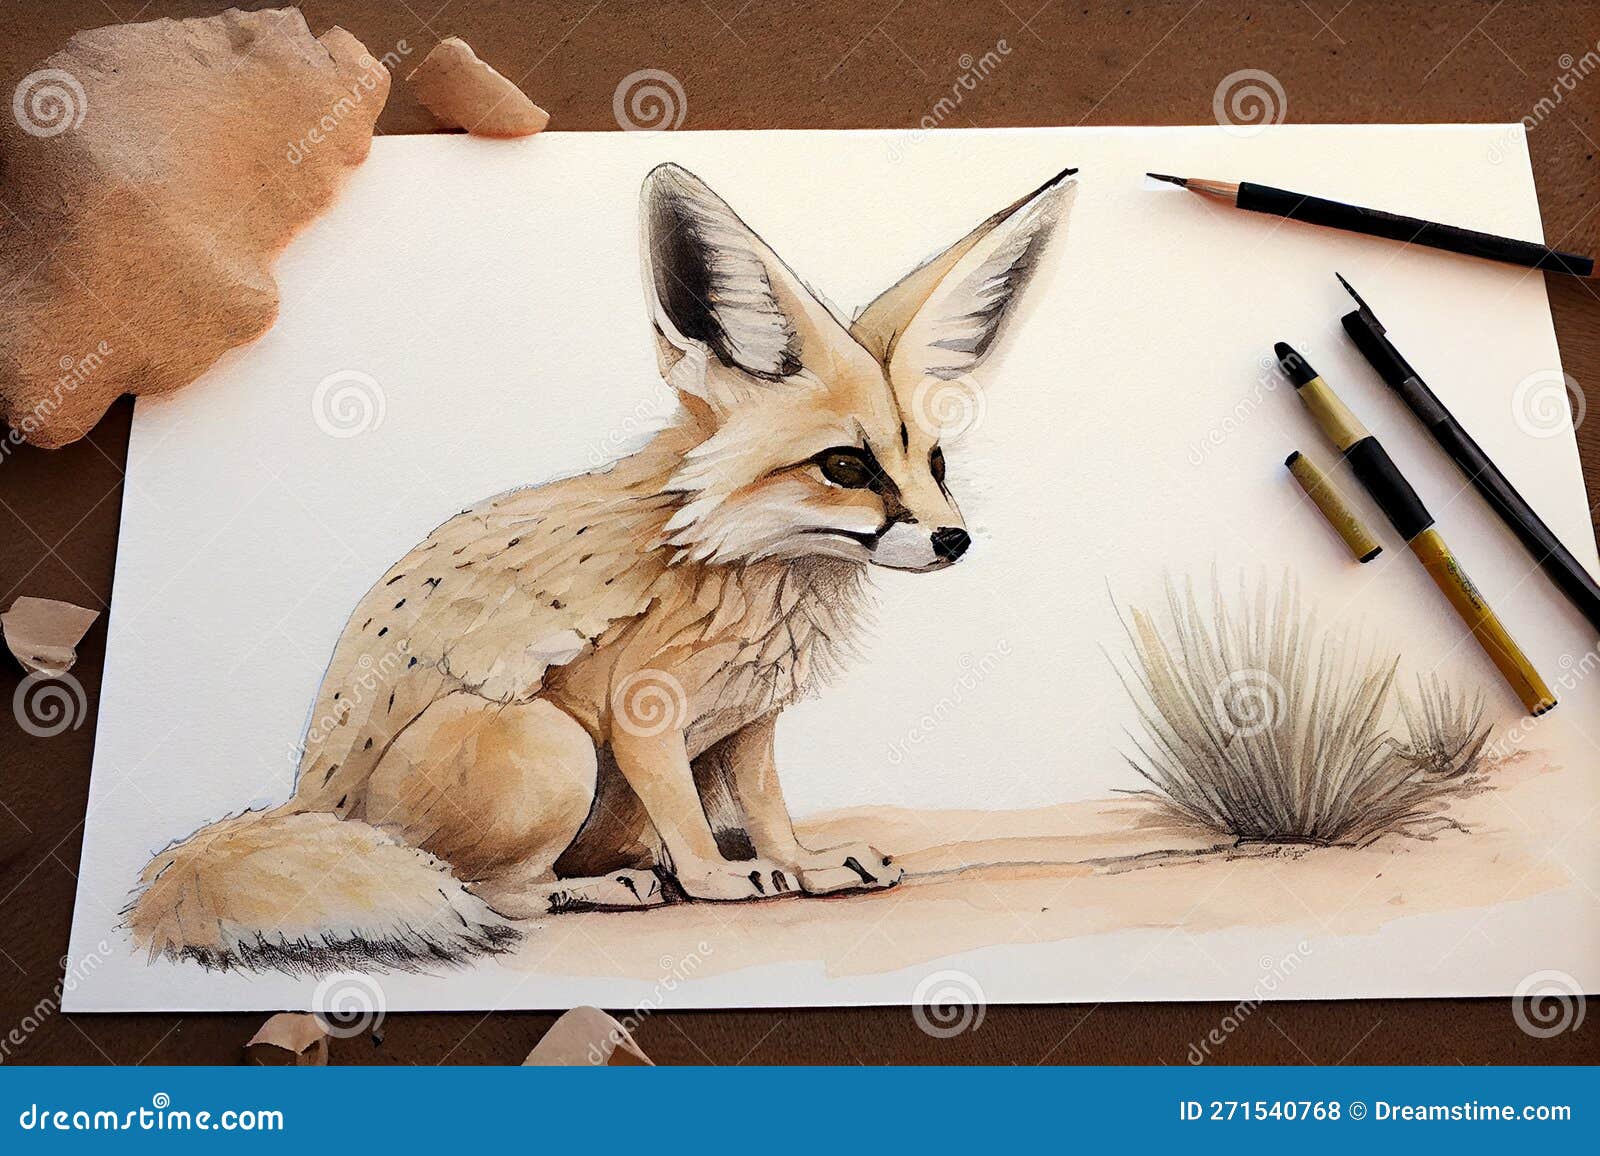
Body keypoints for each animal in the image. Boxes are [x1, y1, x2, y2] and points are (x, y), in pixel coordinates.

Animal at [126, 161, 1075, 972]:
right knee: (495, 894)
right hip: (554, 745)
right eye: (846, 466)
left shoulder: (749, 721)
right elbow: (688, 830)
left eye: (937, 464)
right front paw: (721, 880)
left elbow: (768, 809)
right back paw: (603, 887)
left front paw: (802, 861)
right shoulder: (642, 713)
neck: (744, 564)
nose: (953, 540)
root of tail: (311, 803)